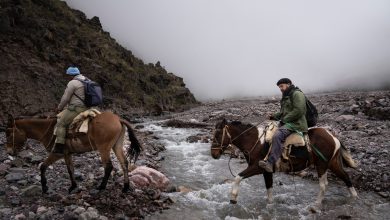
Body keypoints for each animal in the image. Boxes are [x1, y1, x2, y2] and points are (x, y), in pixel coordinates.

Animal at [4, 112, 142, 193]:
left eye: (9, 133)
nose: (9, 151)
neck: (48, 130)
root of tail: (118, 119)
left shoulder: (57, 153)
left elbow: (43, 166)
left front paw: (44, 187)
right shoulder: (67, 154)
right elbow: (70, 169)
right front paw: (73, 186)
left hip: (104, 148)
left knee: (108, 166)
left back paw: (101, 187)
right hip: (116, 146)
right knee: (124, 163)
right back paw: (125, 187)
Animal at [212, 119, 358, 211]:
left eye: (218, 134)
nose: (213, 154)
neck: (255, 141)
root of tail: (333, 137)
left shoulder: (257, 167)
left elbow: (238, 177)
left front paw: (233, 198)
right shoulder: (267, 171)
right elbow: (269, 189)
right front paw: (270, 206)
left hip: (322, 164)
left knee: (324, 185)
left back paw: (316, 205)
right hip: (333, 163)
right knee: (346, 177)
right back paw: (354, 198)